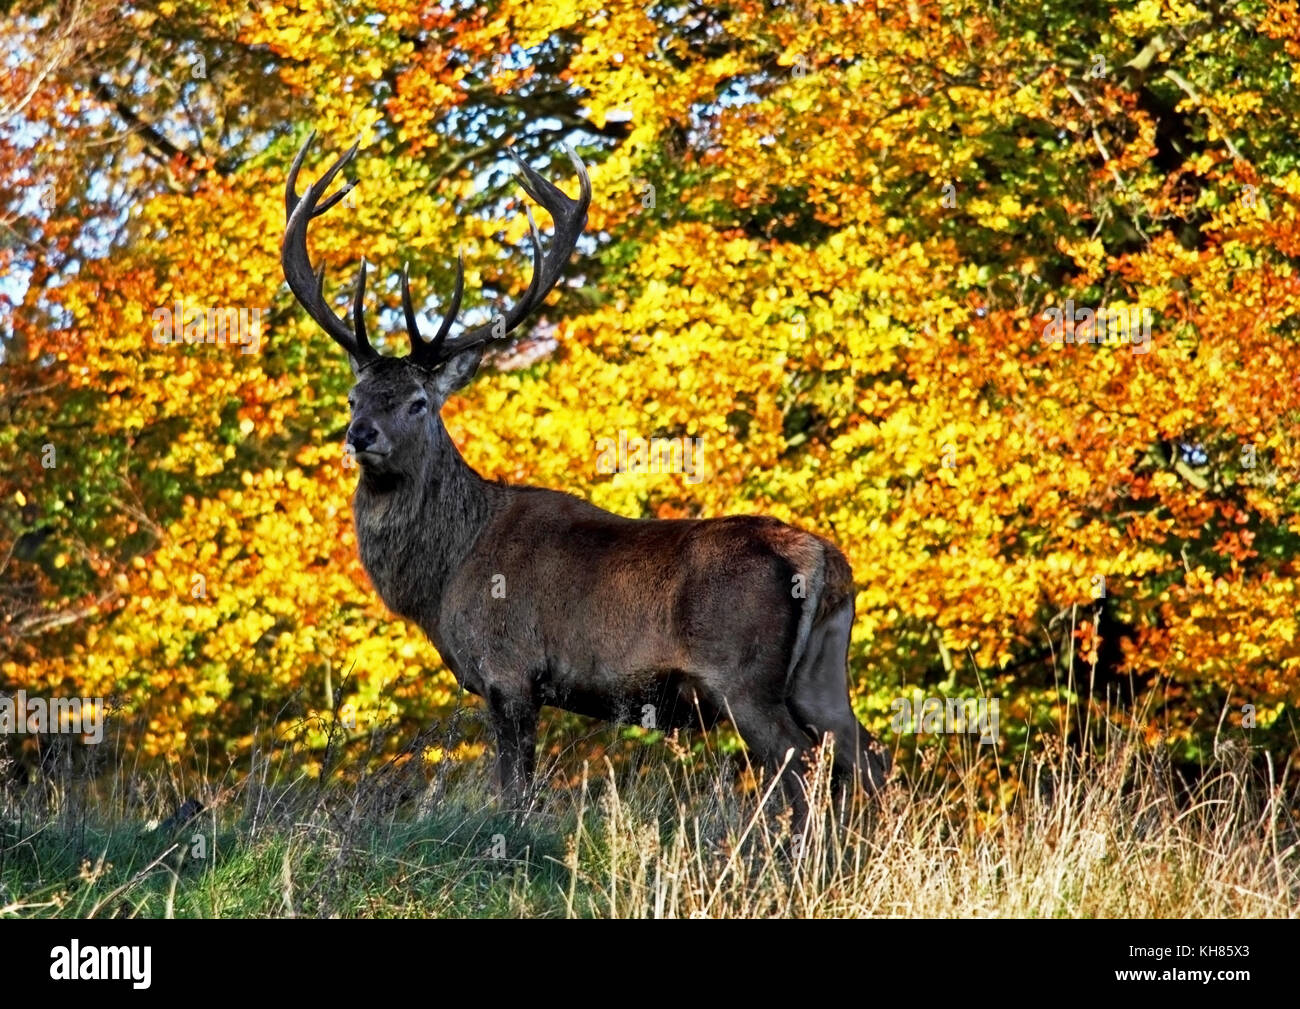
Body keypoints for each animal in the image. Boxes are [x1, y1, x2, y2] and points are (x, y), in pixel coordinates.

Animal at [281, 133, 890, 817]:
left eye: (417, 401)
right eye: (354, 397)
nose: (361, 435)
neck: (443, 577)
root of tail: (821, 559)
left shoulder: (509, 670)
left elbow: (514, 791)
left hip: (745, 678)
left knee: (806, 768)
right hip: (821, 674)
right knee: (868, 758)